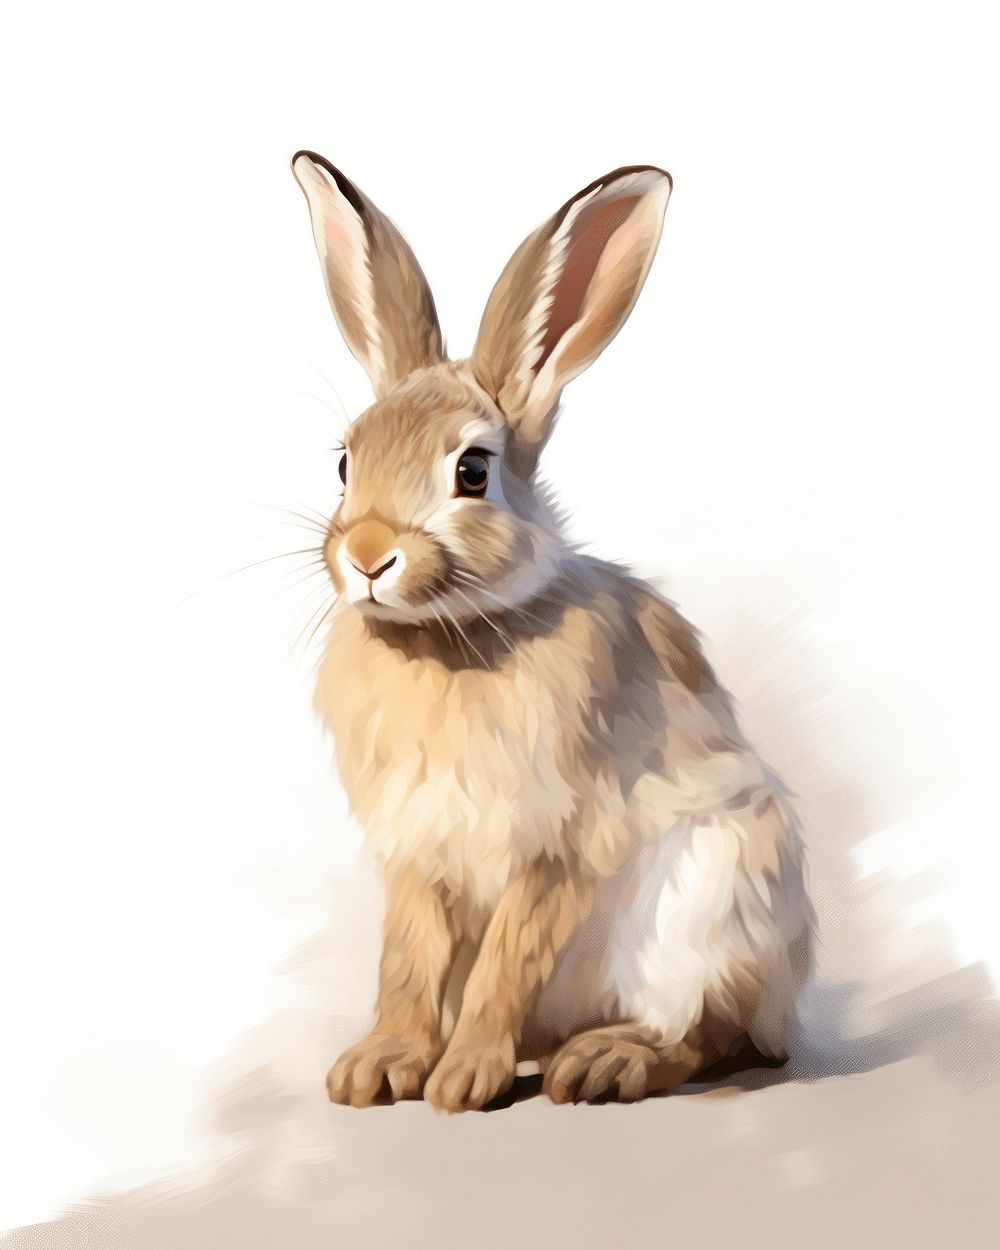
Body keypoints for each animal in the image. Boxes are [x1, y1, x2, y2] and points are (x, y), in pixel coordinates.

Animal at [292, 150, 810, 1111]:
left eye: (473, 470)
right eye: (345, 463)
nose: (369, 554)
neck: (449, 637)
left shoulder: (560, 842)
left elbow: (506, 959)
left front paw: (462, 1080)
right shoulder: (416, 852)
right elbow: (407, 961)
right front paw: (378, 1067)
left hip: (715, 894)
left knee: (707, 1033)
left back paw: (605, 1061)